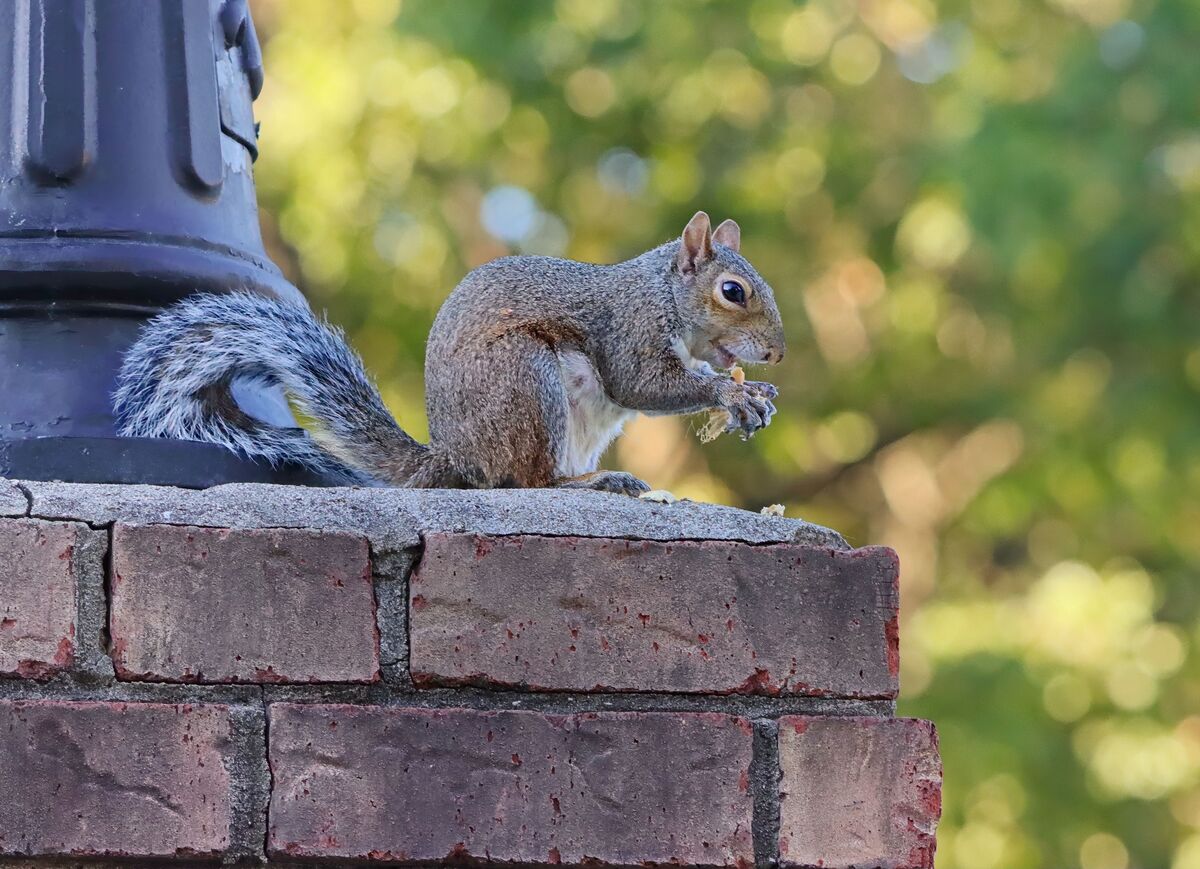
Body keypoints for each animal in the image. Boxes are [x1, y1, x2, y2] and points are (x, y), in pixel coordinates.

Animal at [113, 211, 786, 494]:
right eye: (733, 291)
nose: (777, 355)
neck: (662, 294)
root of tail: (454, 457)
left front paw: (751, 389)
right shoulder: (630, 331)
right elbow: (641, 385)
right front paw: (731, 394)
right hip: (524, 379)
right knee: (527, 481)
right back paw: (588, 483)